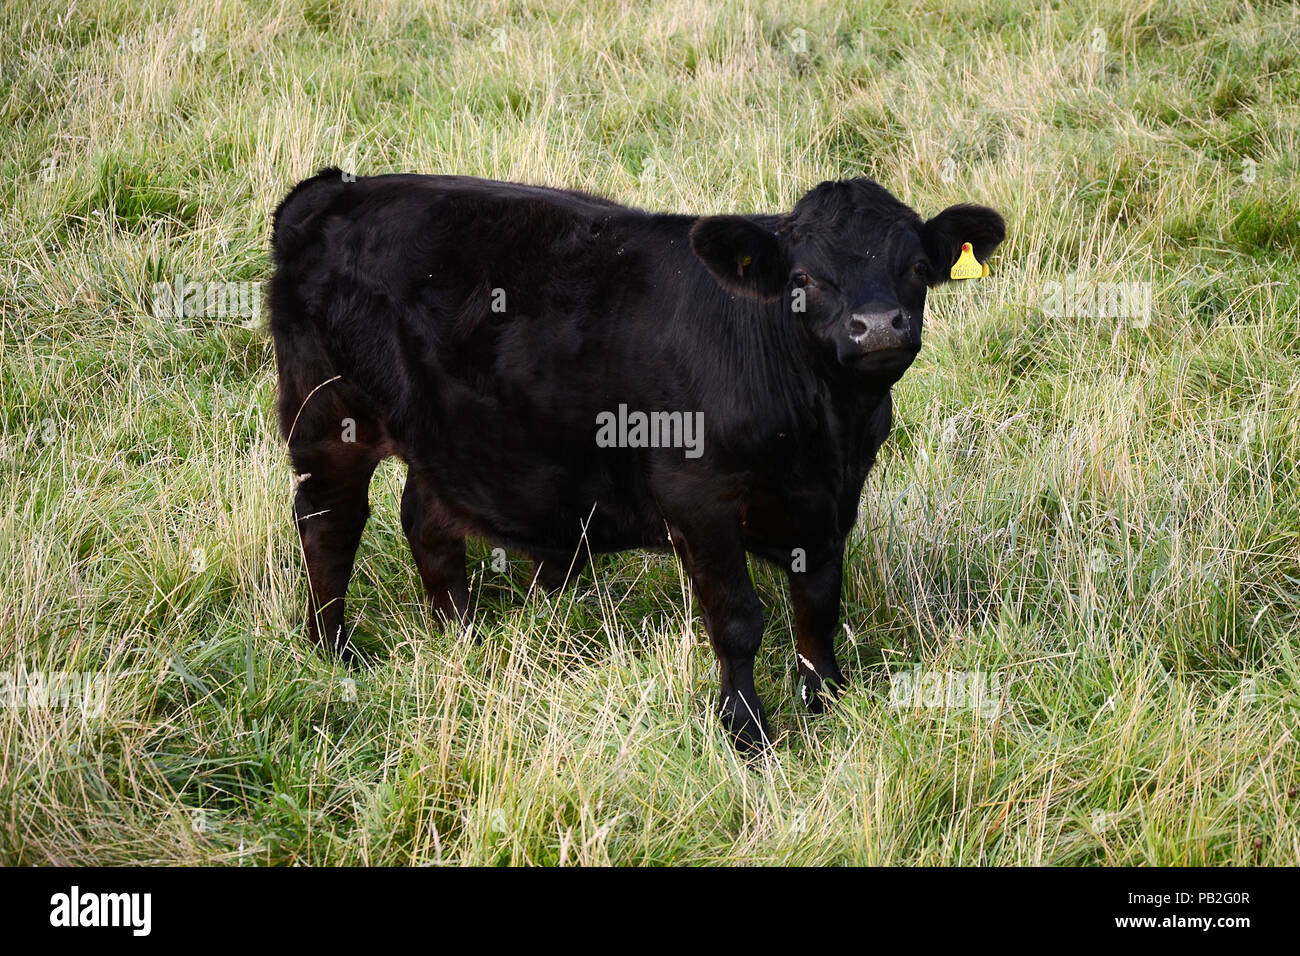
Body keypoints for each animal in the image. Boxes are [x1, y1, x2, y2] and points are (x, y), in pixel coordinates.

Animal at [268, 169, 1005, 751]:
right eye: (804, 279)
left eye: (916, 268)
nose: (878, 326)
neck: (823, 427)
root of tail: (336, 191)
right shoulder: (697, 498)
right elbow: (738, 620)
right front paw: (748, 734)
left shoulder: (829, 502)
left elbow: (818, 606)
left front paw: (829, 702)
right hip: (327, 415)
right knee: (329, 526)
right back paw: (334, 653)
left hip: (449, 437)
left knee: (427, 522)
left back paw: (462, 637)